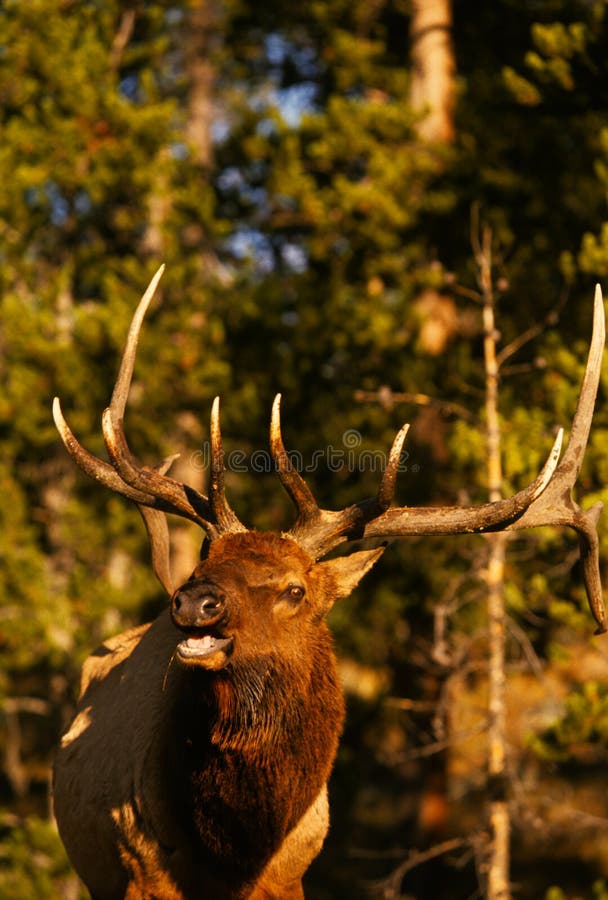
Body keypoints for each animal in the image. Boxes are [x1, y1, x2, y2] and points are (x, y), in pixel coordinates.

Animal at [52, 266, 607, 900]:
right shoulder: (141, 872)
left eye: (295, 589)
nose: (193, 602)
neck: (234, 849)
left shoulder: (292, 875)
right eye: (202, 564)